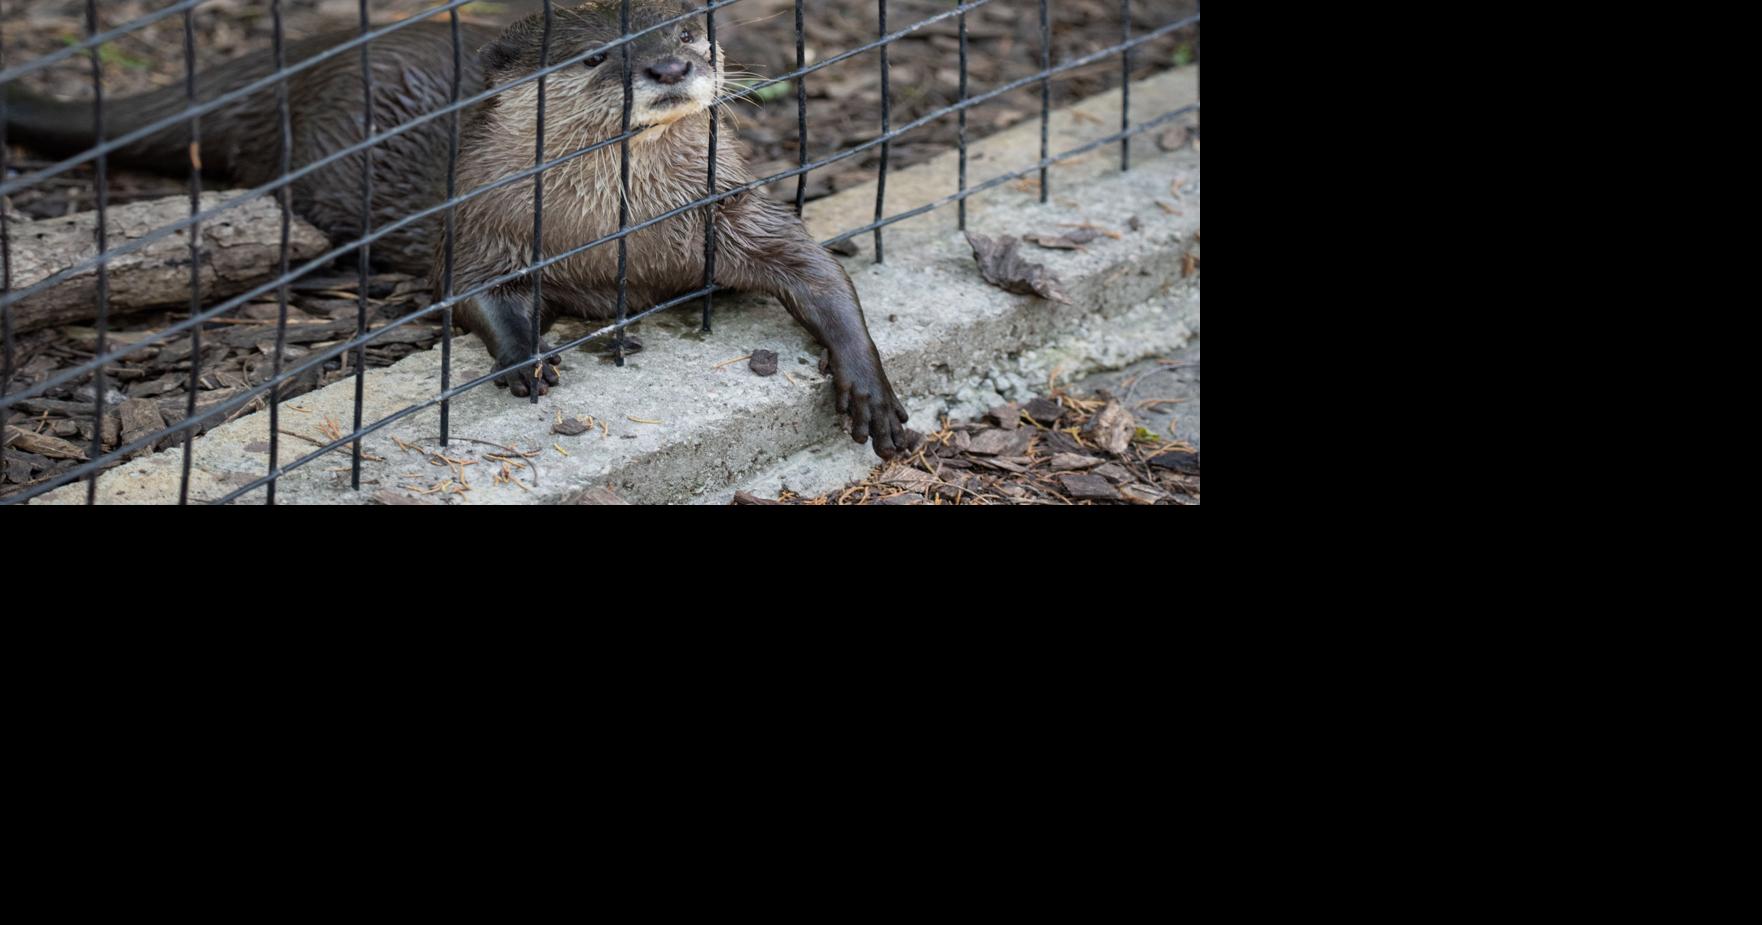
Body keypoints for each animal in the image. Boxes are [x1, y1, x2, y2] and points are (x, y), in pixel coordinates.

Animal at [3, 0, 912, 459]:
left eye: (689, 33)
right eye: (593, 56)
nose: (670, 64)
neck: (618, 228)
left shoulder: (727, 207)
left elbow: (815, 268)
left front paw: (870, 385)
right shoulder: (481, 222)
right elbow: (468, 289)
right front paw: (526, 355)